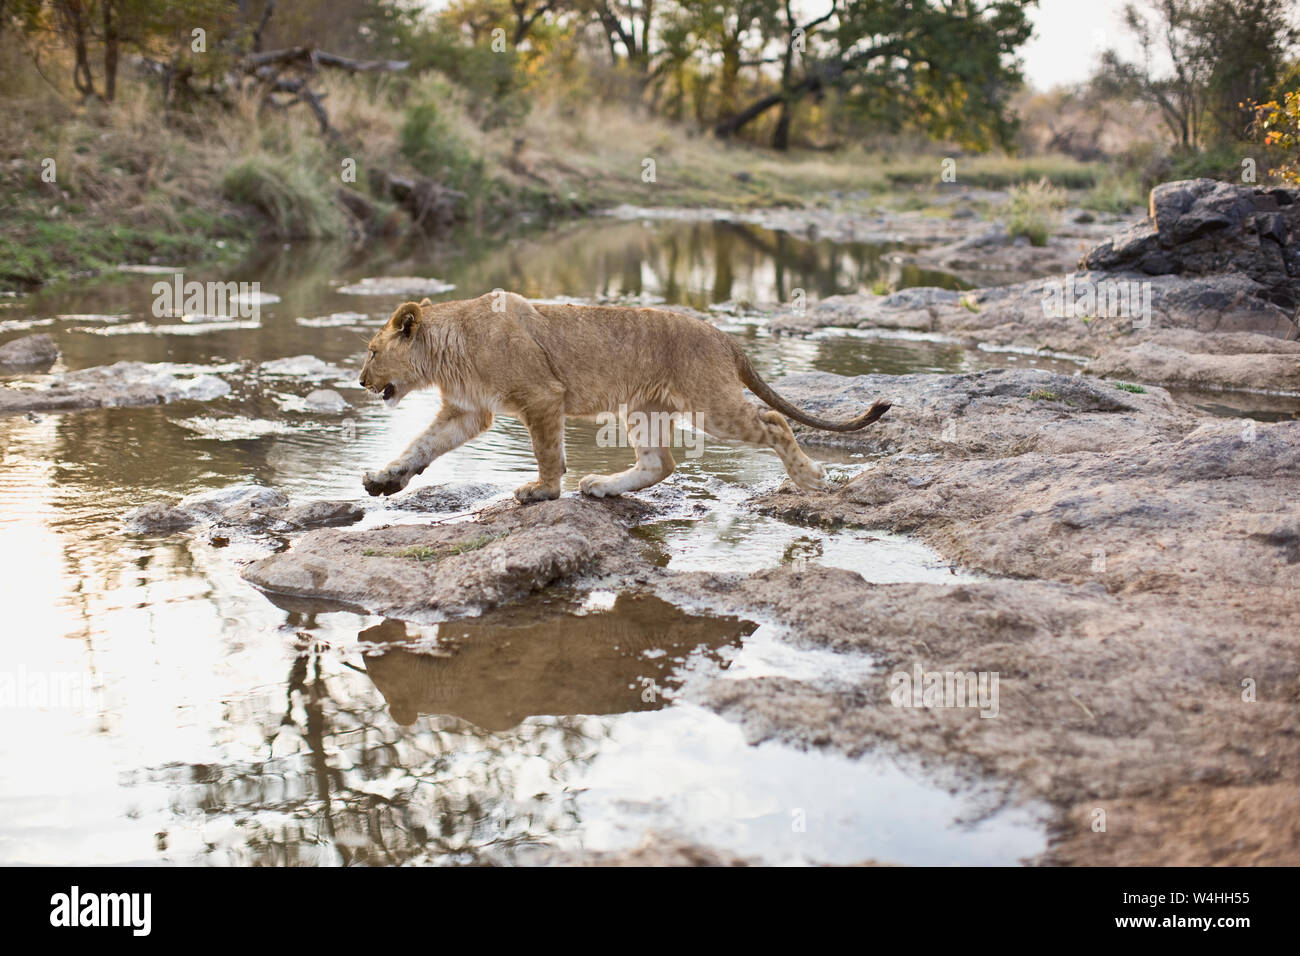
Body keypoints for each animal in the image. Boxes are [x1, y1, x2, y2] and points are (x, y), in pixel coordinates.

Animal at [358, 292, 890, 502]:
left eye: (372, 351)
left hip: (710, 405)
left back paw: (810, 477)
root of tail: (724, 337)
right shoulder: (467, 411)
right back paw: (602, 486)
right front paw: (384, 480)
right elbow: (420, 445)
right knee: (661, 463)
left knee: (775, 423)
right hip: (644, 409)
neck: (448, 350)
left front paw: (542, 491)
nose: (361, 381)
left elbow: (547, 453)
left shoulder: (542, 396)